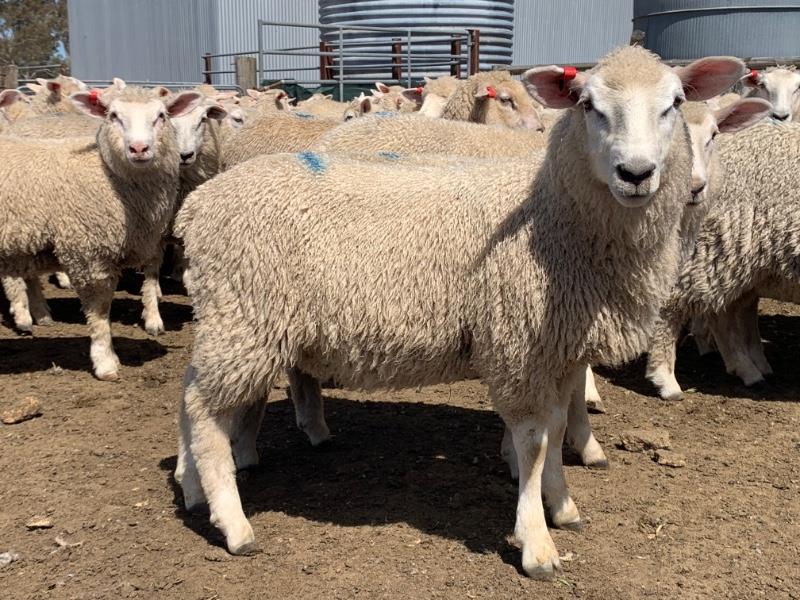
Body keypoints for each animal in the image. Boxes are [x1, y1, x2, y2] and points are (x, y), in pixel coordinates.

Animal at [0, 87, 201, 380]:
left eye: (161, 116)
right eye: (114, 116)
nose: (139, 148)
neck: (108, 175)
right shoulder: (87, 253)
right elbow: (99, 311)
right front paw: (105, 362)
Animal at [172, 47, 744, 577]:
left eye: (674, 104)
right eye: (588, 105)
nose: (636, 173)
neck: (553, 215)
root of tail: (198, 205)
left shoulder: (558, 348)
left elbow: (559, 427)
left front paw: (562, 506)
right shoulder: (519, 345)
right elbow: (534, 443)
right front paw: (537, 543)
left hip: (235, 321)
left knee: (190, 393)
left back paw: (193, 487)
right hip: (244, 319)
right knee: (203, 411)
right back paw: (233, 523)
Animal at [646, 117, 800, 400]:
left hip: (735, 259)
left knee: (722, 310)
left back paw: (748, 368)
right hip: (709, 248)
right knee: (672, 306)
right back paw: (665, 379)